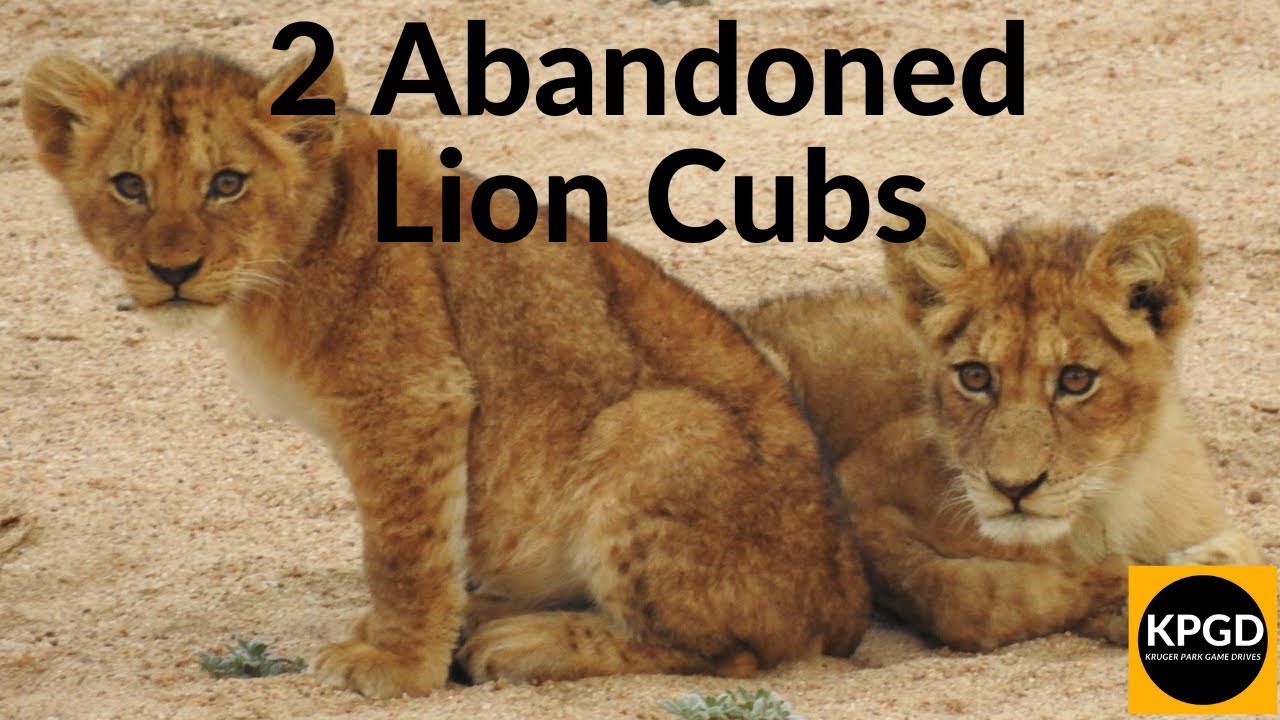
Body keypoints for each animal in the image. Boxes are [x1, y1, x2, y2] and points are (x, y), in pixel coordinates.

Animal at [21, 49, 868, 697]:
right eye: (130, 185)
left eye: (226, 182)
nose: (172, 271)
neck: (283, 269)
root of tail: (847, 594)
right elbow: (419, 541)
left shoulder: (408, 397)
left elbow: (401, 548)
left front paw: (395, 665)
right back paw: (490, 613)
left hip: (657, 421)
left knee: (728, 653)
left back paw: (522, 642)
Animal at [738, 206, 1262, 651]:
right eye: (975, 376)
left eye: (1076, 379)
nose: (1013, 487)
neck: (1108, 504)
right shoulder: (858, 497)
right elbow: (966, 599)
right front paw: (1129, 582)